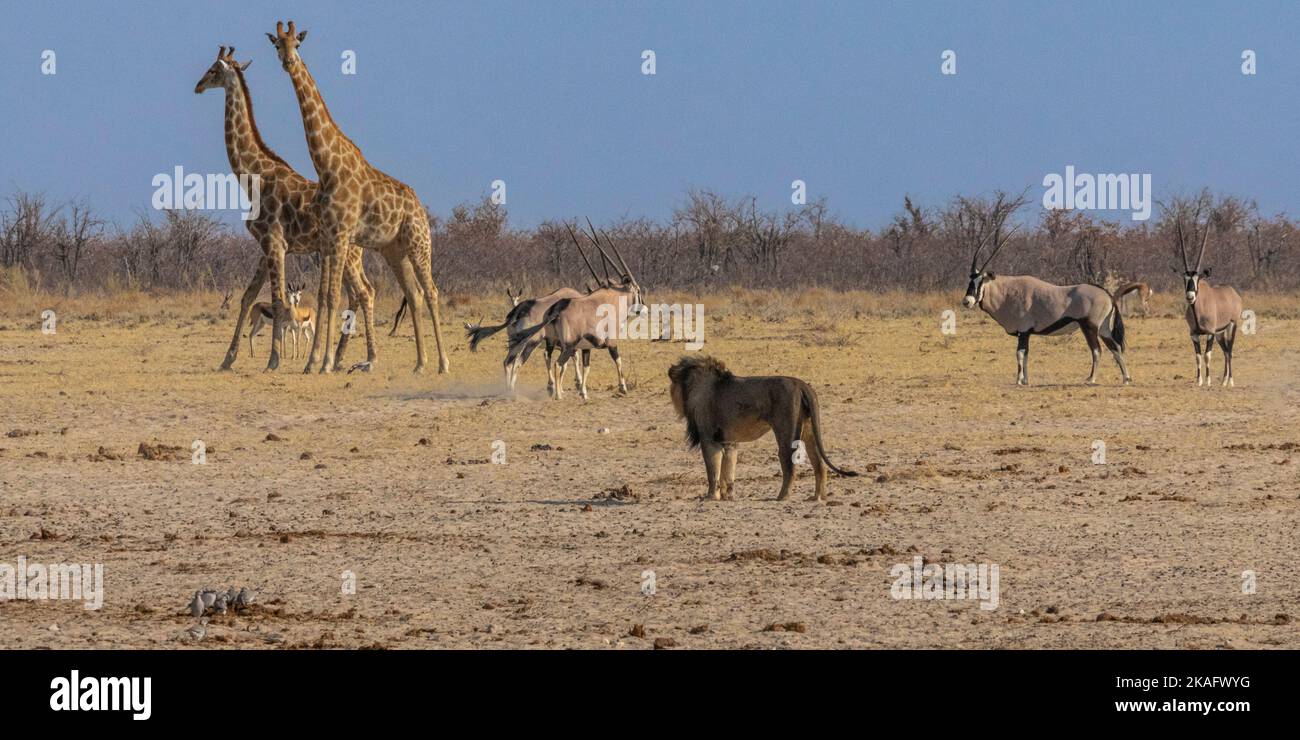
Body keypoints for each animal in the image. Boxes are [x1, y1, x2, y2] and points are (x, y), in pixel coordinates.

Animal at [195, 46, 379, 372]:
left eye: (214, 70)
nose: (198, 85)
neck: (254, 176)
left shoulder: (275, 242)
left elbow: (279, 300)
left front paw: (273, 360)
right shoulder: (265, 245)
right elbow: (247, 296)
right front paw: (228, 359)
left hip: (349, 252)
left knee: (365, 292)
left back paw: (365, 358)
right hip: (344, 252)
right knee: (357, 294)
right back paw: (339, 358)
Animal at [266, 21, 449, 374]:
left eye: (298, 43)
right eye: (277, 46)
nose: (289, 62)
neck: (326, 164)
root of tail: (420, 208)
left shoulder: (340, 235)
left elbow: (332, 296)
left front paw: (324, 363)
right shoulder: (328, 236)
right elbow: (323, 294)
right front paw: (313, 363)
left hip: (419, 243)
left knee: (432, 291)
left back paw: (443, 363)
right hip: (394, 250)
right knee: (414, 293)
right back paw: (420, 363)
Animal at [668, 355, 858, 501]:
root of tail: (802, 385)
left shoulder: (709, 439)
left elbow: (713, 471)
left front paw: (710, 497)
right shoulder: (729, 441)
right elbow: (728, 471)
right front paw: (727, 496)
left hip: (786, 429)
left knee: (789, 465)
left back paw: (782, 497)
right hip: (809, 429)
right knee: (819, 463)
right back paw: (817, 497)